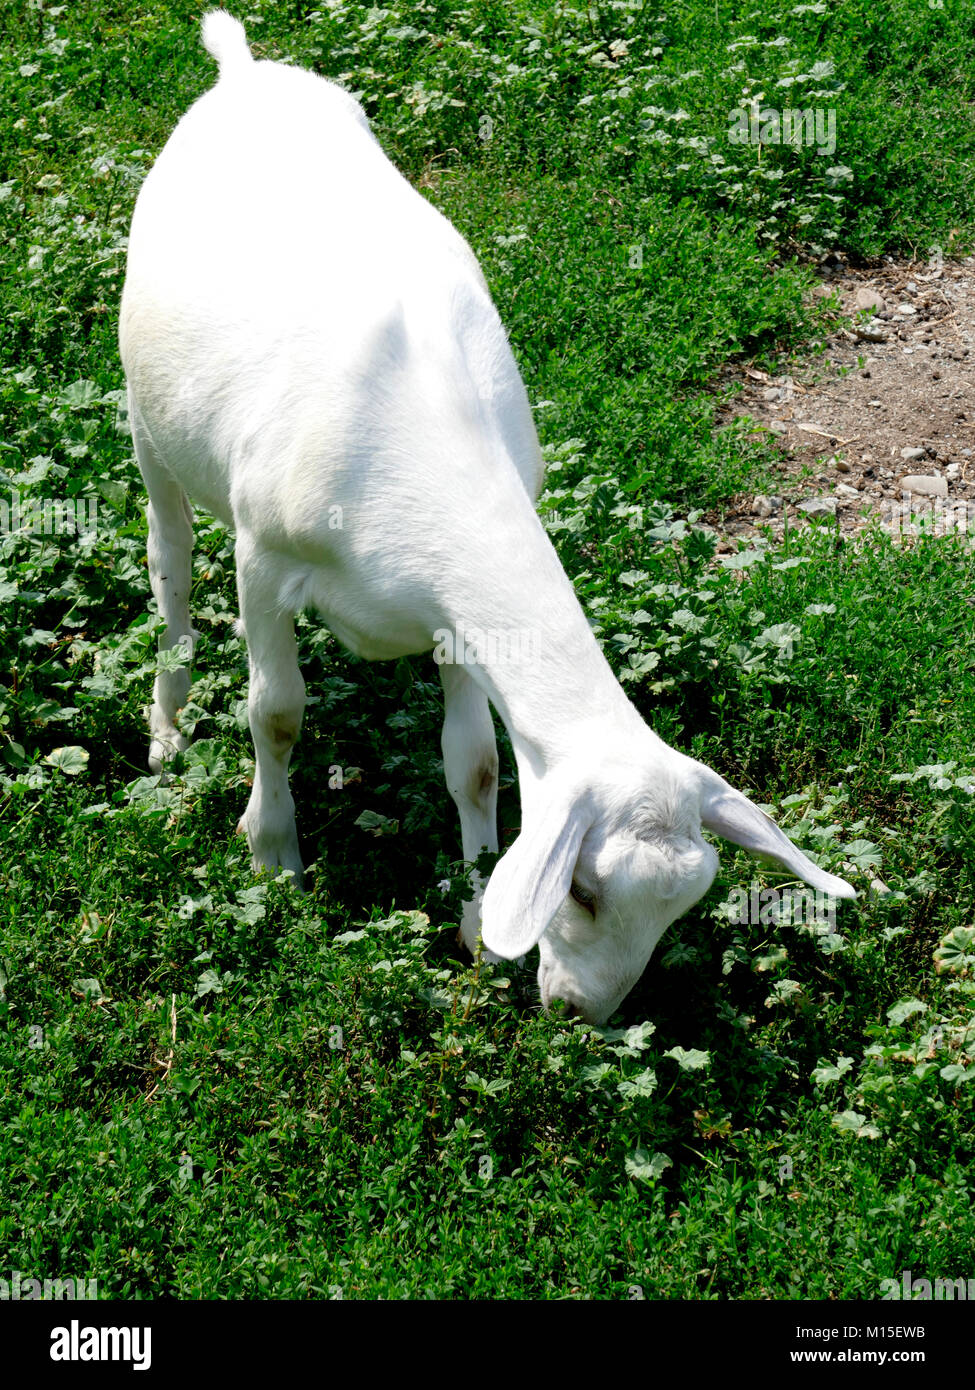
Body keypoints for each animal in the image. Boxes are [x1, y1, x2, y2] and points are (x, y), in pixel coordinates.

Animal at [119, 12, 856, 1025]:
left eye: (675, 912)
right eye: (580, 889)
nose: (581, 1014)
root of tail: (242, 69)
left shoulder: (456, 619)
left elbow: (471, 760)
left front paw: (473, 920)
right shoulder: (265, 560)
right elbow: (277, 713)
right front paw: (273, 858)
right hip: (148, 422)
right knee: (171, 563)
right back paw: (168, 729)